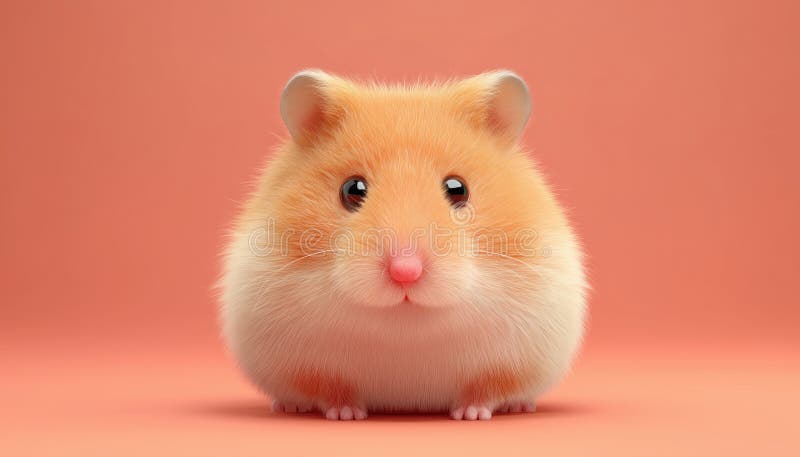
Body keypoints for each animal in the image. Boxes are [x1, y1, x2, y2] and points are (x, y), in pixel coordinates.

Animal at [219, 70, 587, 420]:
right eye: (352, 189)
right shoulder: (304, 361)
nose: (405, 272)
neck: (404, 329)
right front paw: (345, 415)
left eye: (458, 189)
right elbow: (331, 389)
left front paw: (471, 415)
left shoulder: (512, 356)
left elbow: (485, 389)